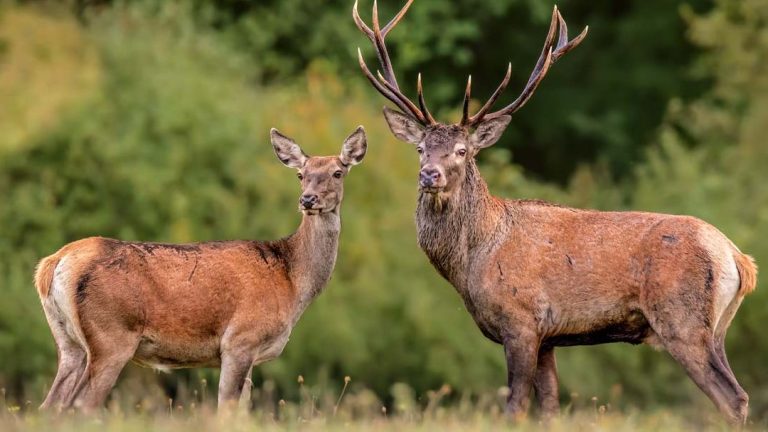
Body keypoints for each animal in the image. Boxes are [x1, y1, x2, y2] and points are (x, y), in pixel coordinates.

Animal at [34, 127, 367, 412]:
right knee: (79, 405)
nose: (307, 200)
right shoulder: (240, 340)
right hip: (111, 336)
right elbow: (226, 411)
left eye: (337, 172)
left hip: (68, 342)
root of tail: (53, 263)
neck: (292, 281)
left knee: (50, 405)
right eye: (301, 174)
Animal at [354, 0, 757, 425]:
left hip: (682, 319)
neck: (473, 261)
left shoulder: (521, 321)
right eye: (421, 148)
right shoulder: (549, 338)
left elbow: (514, 407)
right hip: (718, 328)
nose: (429, 174)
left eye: (462, 151)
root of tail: (737, 258)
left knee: (733, 397)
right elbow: (549, 409)